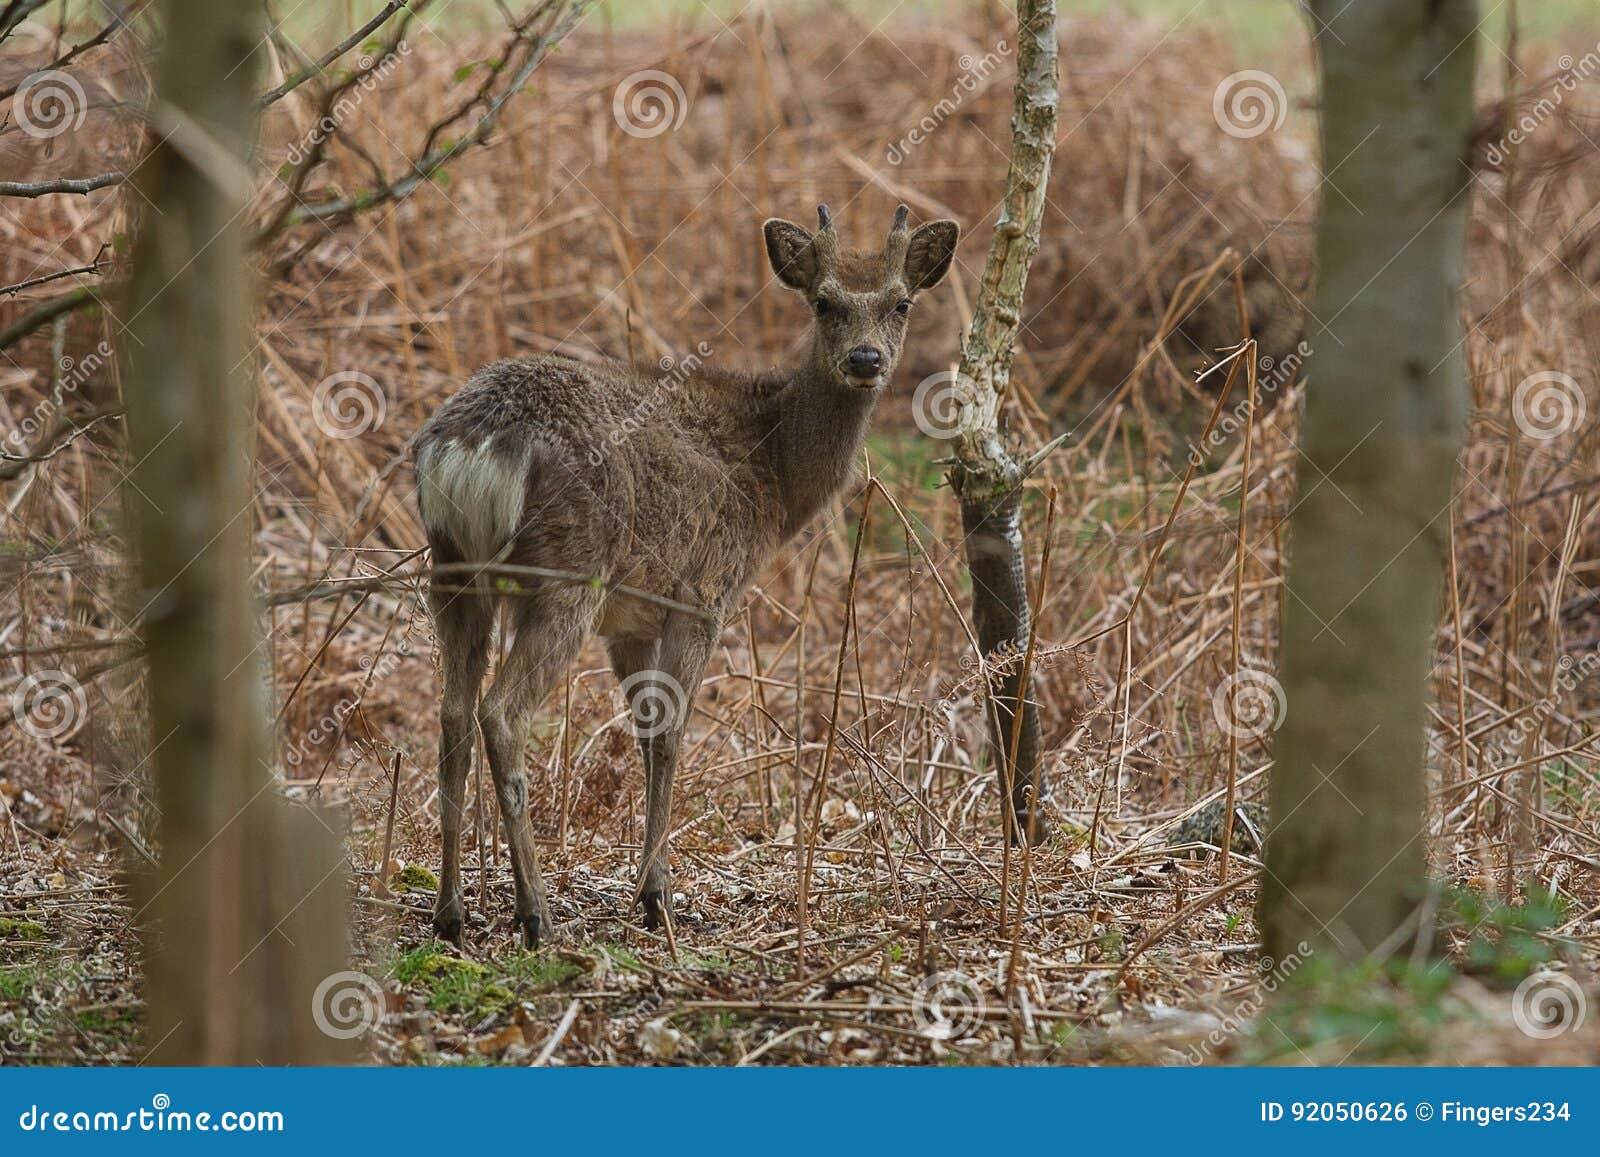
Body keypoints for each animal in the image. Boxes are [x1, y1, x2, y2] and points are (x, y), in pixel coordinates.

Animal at [412, 204, 959, 947]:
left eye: (901, 302)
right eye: (823, 302)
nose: (866, 359)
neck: (773, 475)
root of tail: (473, 447)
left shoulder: (631, 621)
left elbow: (645, 731)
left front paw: (648, 887)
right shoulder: (705, 591)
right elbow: (671, 735)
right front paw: (657, 896)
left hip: (451, 569)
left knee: (450, 716)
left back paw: (450, 914)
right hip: (567, 573)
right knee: (502, 711)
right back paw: (535, 914)